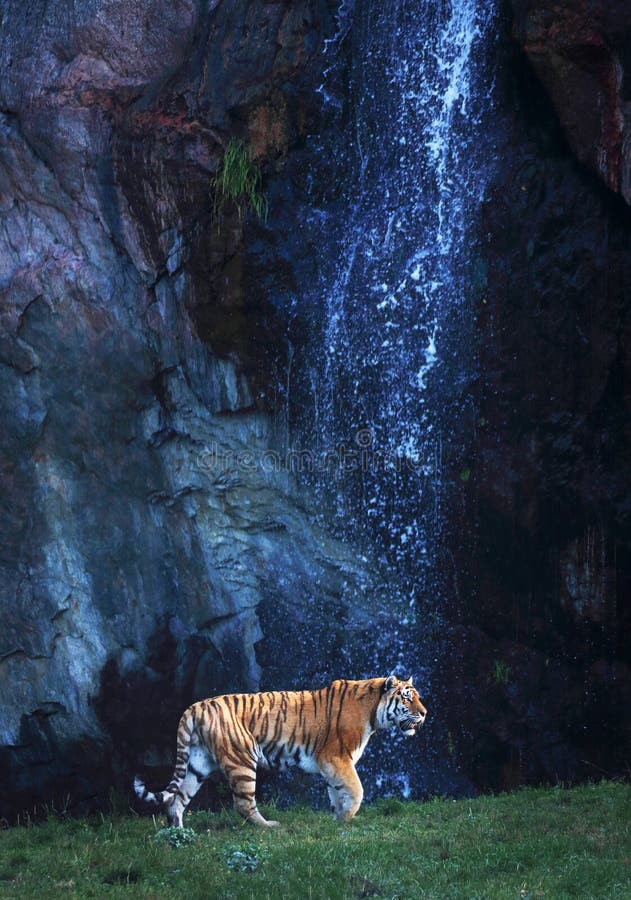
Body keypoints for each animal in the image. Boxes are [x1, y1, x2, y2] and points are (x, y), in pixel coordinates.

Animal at [133, 675, 427, 827]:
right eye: (408, 698)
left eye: (418, 697)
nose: (424, 713)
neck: (374, 713)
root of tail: (194, 707)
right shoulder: (336, 757)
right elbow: (356, 790)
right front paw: (347, 818)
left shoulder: (332, 765)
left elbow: (336, 793)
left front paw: (337, 819)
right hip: (242, 759)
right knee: (243, 803)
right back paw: (268, 827)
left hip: (197, 763)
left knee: (177, 799)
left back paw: (178, 834)